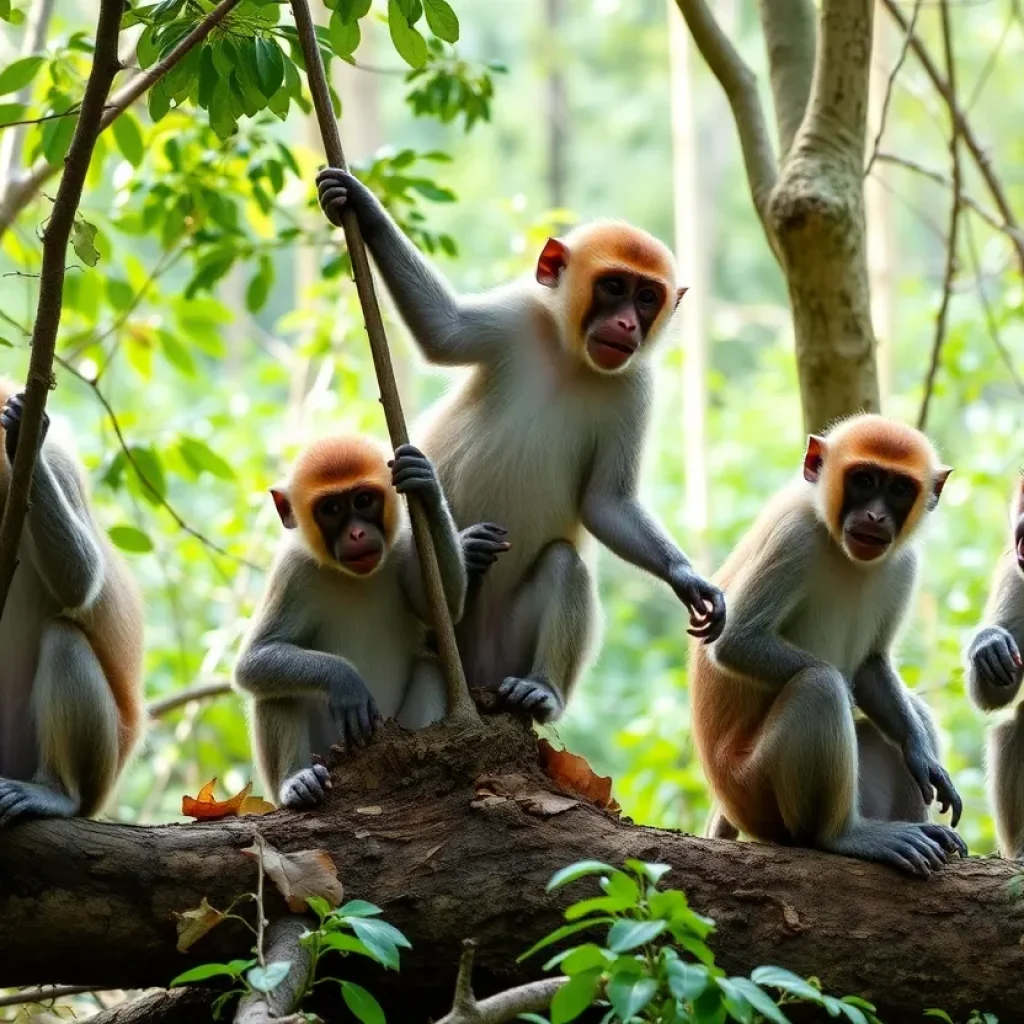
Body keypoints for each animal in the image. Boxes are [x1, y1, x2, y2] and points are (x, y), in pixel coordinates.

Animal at [0, 380, 145, 826]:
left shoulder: (56, 464)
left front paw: (22, 434)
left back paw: (56, 793)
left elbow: (81, 579)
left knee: (63, 639)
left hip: (100, 760)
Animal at [234, 436, 508, 810]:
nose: (357, 533)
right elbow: (254, 661)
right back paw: (296, 782)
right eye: (332, 509)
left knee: (430, 667)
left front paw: (426, 484)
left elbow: (442, 610)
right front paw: (346, 680)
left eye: (364, 501)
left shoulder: (405, 544)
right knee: (273, 690)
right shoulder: (293, 571)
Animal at [315, 167, 725, 725]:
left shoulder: (634, 386)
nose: (626, 325)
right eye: (613, 287)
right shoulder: (520, 318)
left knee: (562, 563)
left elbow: (606, 504)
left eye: (646, 297)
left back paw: (539, 690)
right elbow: (443, 329)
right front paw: (362, 205)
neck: (572, 359)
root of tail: (477, 676)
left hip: (506, 651)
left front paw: (688, 579)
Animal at [690, 414, 967, 877]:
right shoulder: (795, 537)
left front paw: (920, 754)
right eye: (864, 479)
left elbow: (872, 666)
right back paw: (844, 836)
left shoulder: (905, 562)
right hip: (756, 791)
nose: (875, 516)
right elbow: (736, 642)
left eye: (899, 489)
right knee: (820, 683)